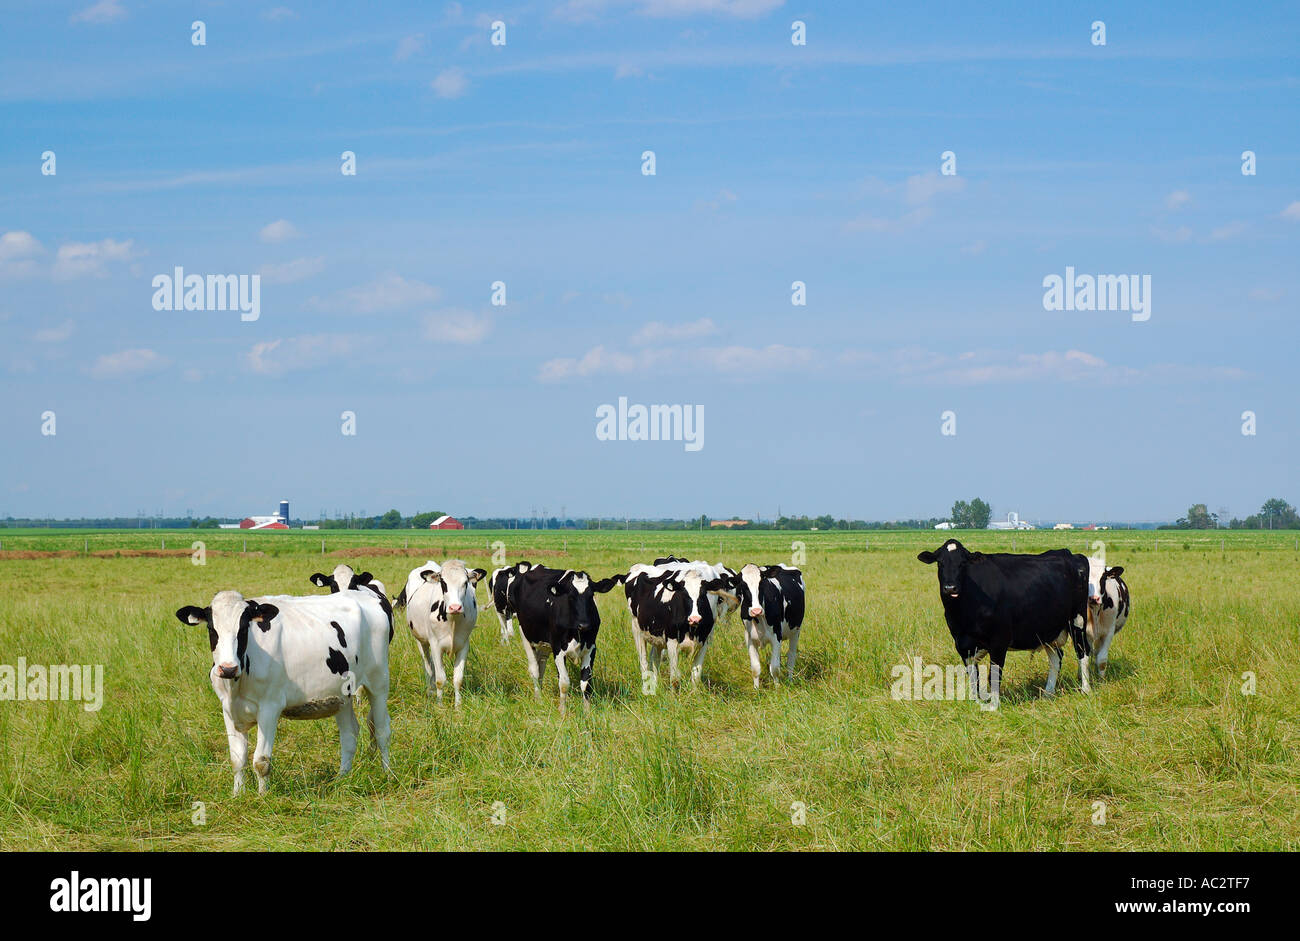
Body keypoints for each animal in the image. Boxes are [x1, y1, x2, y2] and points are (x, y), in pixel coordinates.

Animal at [174, 589, 392, 795]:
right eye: (212, 629)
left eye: (243, 628)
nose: (228, 668)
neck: (236, 685)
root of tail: (366, 592)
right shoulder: (227, 708)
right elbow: (237, 759)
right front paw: (237, 795)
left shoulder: (270, 706)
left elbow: (261, 760)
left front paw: (263, 796)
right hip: (341, 694)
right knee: (349, 734)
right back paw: (341, 779)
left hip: (378, 681)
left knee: (382, 730)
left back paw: (388, 774)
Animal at [404, 559, 487, 707]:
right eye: (443, 583)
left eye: (465, 582)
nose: (455, 607)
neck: (453, 620)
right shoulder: (436, 645)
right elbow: (440, 679)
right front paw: (440, 705)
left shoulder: (464, 645)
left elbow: (458, 679)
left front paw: (458, 706)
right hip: (421, 641)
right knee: (428, 666)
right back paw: (430, 690)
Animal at [507, 565, 624, 713]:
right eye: (571, 596)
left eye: (591, 595)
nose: (584, 625)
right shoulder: (558, 649)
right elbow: (564, 682)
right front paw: (562, 711)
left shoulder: (591, 648)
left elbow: (585, 683)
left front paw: (587, 712)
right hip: (526, 635)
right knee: (534, 670)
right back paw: (538, 700)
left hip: (545, 644)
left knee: (541, 666)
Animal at [917, 538, 1091, 708]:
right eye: (940, 562)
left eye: (963, 563)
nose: (950, 587)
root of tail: (1069, 553)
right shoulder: (962, 643)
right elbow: (973, 676)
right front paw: (975, 702)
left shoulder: (999, 641)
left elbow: (993, 675)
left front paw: (993, 706)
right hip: (1048, 629)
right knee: (1056, 658)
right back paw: (1048, 694)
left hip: (1077, 620)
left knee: (1082, 651)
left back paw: (1085, 690)